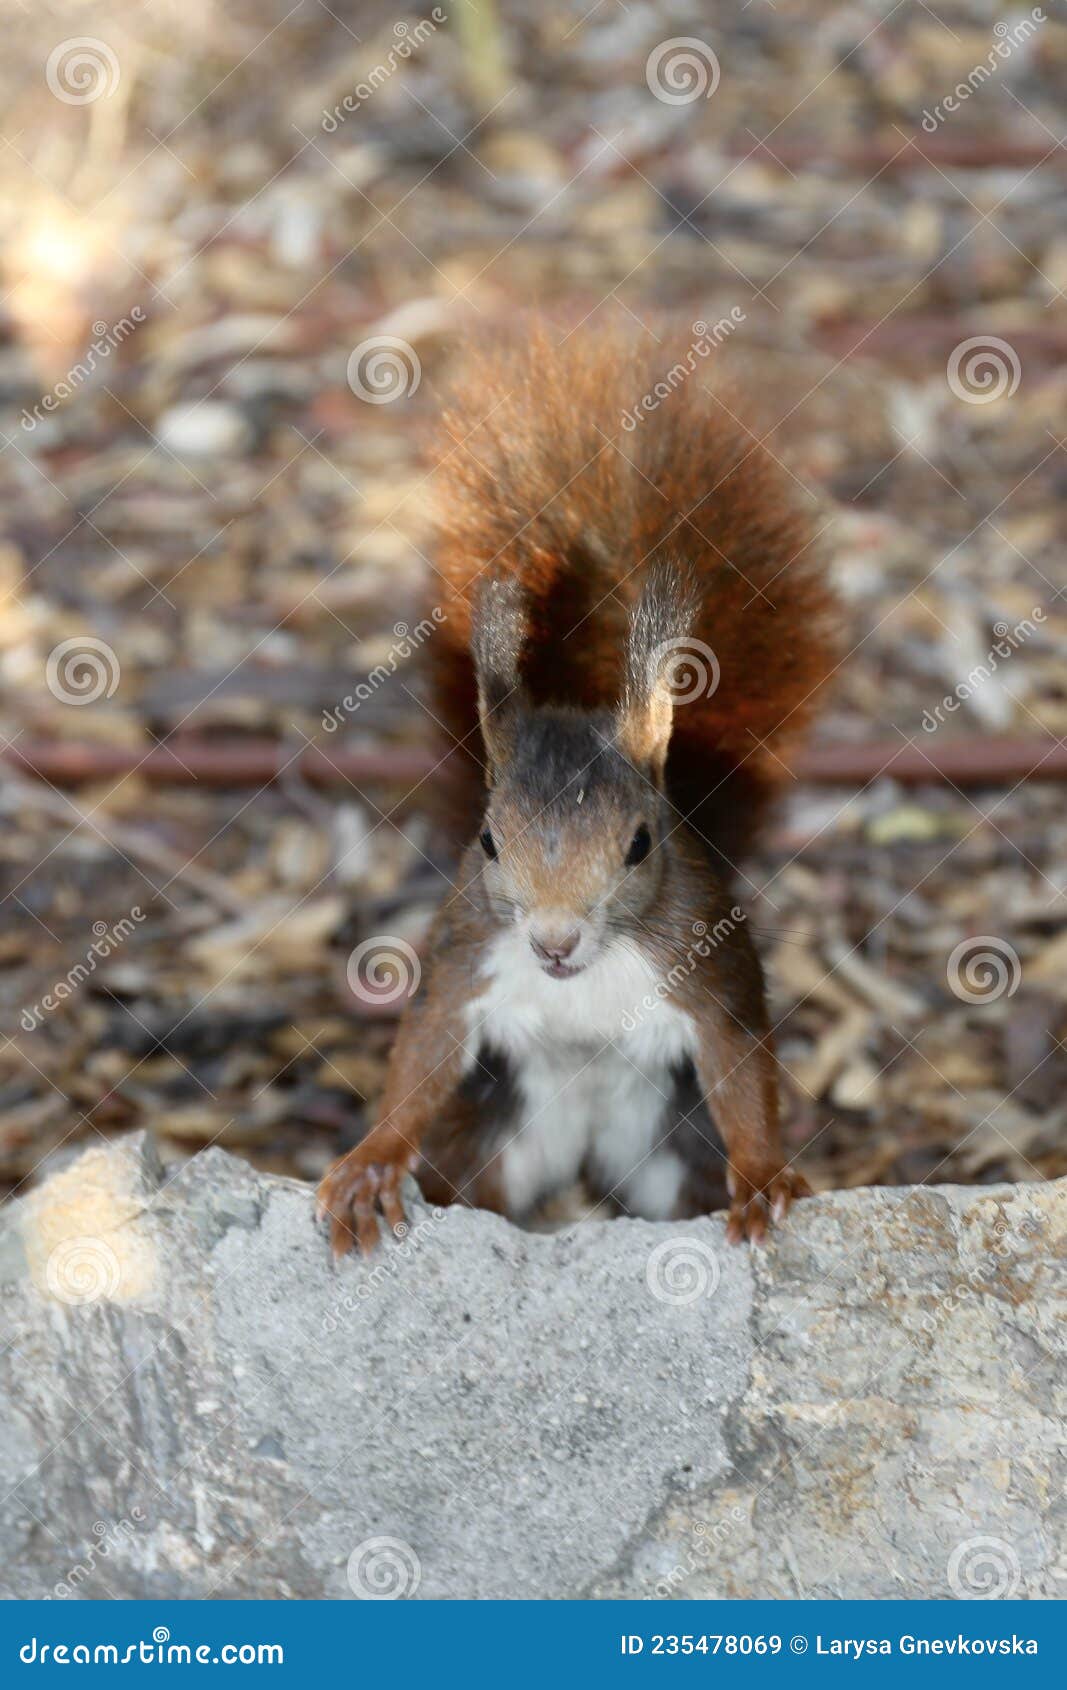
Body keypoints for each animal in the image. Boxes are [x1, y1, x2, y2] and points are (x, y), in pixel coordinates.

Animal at [317, 323, 838, 1257]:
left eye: (638, 844)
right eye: (488, 840)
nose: (554, 942)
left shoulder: (705, 968)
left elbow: (742, 1068)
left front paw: (763, 1181)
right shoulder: (466, 958)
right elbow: (421, 1055)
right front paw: (370, 1165)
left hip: (669, 1157)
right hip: (498, 1145)